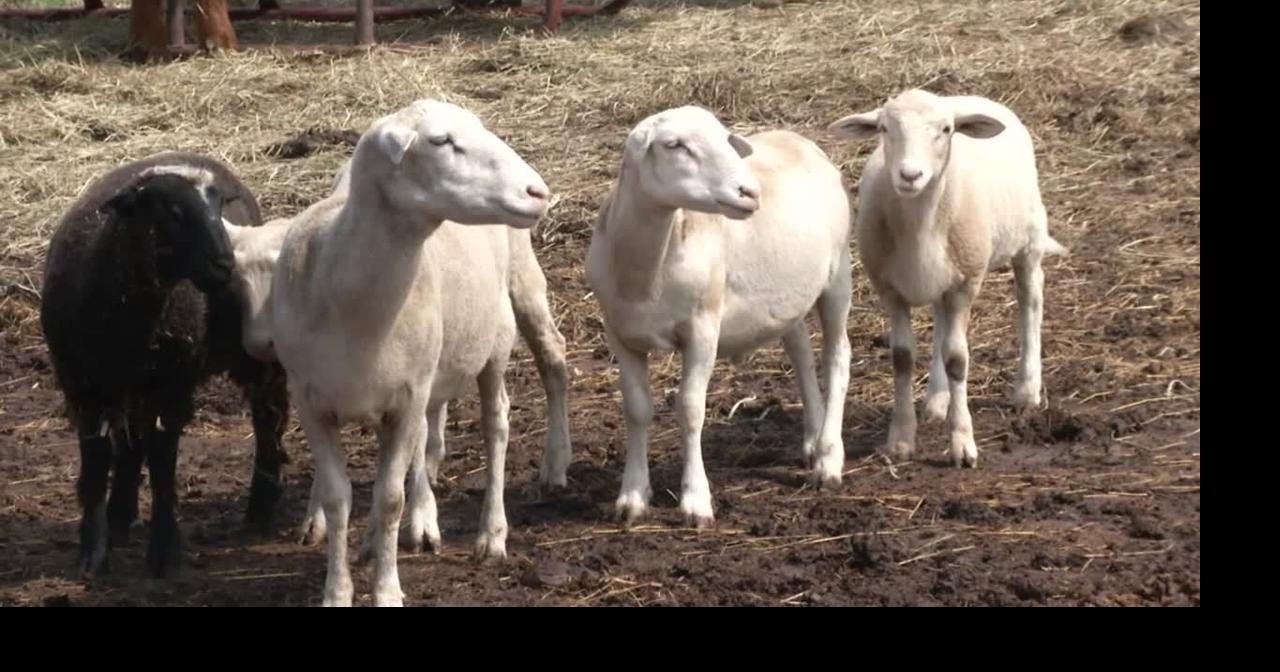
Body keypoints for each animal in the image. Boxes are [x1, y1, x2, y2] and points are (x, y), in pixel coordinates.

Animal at [39, 151, 290, 579]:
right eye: (171, 209)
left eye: (217, 205)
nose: (224, 264)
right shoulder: (82, 386)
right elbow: (96, 463)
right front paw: (93, 554)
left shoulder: (171, 387)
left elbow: (162, 465)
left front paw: (162, 552)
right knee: (130, 443)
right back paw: (119, 517)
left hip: (247, 349)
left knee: (267, 413)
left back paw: (261, 507)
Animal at [269, 99, 552, 606]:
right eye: (441, 141)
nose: (537, 191)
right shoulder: (311, 401)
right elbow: (338, 497)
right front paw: (337, 590)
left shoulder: (407, 399)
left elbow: (390, 498)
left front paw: (386, 590)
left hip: (497, 335)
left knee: (495, 424)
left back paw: (491, 534)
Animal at [586, 106, 853, 529]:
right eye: (674, 145)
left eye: (726, 139)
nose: (750, 192)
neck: (645, 274)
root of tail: (800, 140)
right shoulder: (619, 333)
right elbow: (637, 409)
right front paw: (632, 497)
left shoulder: (702, 328)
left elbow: (690, 408)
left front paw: (696, 502)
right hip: (786, 296)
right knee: (802, 355)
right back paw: (812, 441)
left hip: (838, 273)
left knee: (837, 358)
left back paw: (828, 459)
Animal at [828, 88, 1066, 468]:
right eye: (883, 128)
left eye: (946, 130)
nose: (910, 175)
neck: (920, 223)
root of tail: (971, 96)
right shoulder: (890, 289)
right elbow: (902, 358)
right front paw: (901, 440)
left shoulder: (964, 285)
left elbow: (957, 359)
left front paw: (963, 444)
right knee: (940, 326)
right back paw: (937, 401)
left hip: (1028, 237)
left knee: (1031, 299)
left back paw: (1027, 389)